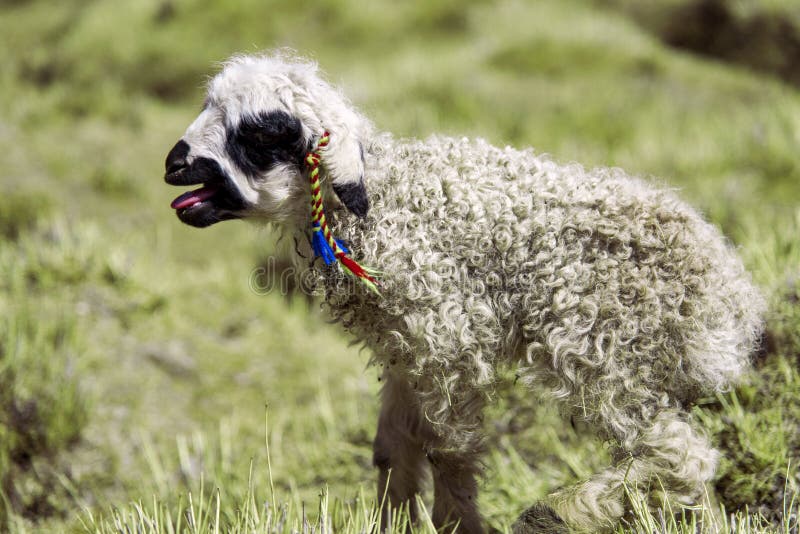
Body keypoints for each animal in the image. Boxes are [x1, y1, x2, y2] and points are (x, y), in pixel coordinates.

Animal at [163, 52, 766, 533]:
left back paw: (559, 513)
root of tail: (729, 298)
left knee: (680, 454)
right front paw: (394, 521)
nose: (173, 164)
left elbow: (448, 448)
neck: (384, 208)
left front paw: (459, 522)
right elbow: (392, 448)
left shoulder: (447, 336)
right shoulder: (407, 346)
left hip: (606, 347)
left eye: (259, 132)